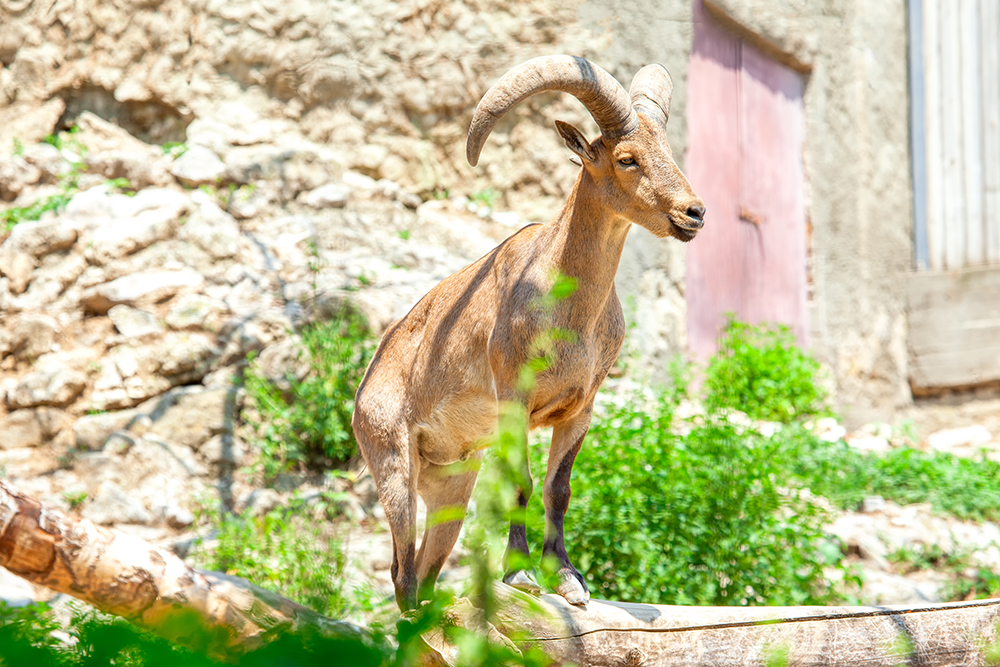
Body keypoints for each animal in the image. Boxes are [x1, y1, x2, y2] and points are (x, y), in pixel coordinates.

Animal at [352, 55, 706, 611]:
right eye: (627, 158)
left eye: (667, 152)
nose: (694, 213)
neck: (569, 307)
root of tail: (364, 388)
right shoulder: (514, 398)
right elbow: (521, 481)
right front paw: (519, 574)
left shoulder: (580, 409)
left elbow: (557, 489)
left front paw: (567, 578)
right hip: (392, 462)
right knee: (402, 574)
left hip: (452, 481)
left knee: (428, 570)